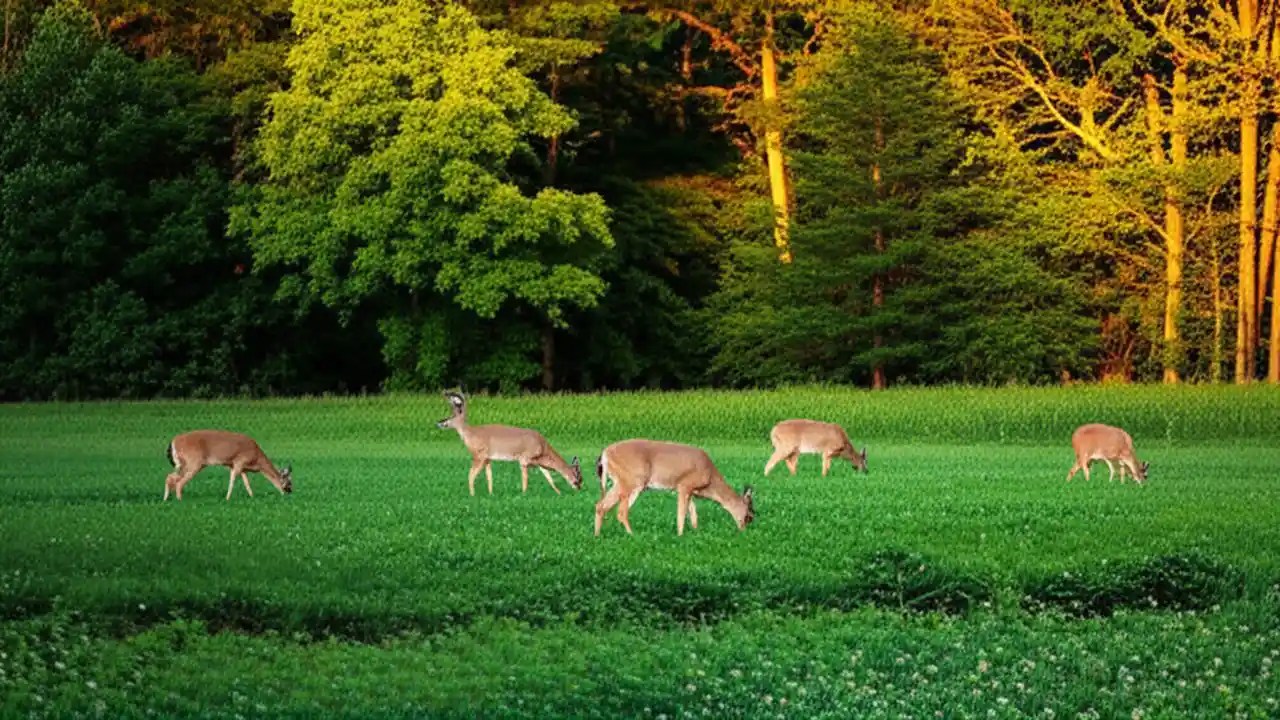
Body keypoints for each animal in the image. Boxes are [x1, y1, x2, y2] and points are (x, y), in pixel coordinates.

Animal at [164, 430, 293, 501]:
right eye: (289, 481)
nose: (289, 492)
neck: (256, 460)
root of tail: (173, 442)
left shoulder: (237, 466)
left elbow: (246, 483)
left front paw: (252, 496)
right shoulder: (239, 462)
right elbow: (232, 481)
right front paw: (227, 498)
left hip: (183, 463)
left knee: (170, 477)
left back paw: (165, 499)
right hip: (194, 462)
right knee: (178, 482)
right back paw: (180, 500)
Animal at [436, 391, 583, 496]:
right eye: (578, 476)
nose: (579, 487)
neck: (543, 449)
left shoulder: (537, 462)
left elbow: (549, 477)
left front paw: (559, 493)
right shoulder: (524, 459)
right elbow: (525, 480)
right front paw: (524, 495)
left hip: (486, 458)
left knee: (487, 476)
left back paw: (490, 494)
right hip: (479, 455)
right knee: (471, 475)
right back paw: (472, 495)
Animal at [594, 439, 755, 536]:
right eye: (749, 515)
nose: (743, 531)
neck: (710, 479)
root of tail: (605, 454)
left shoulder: (689, 490)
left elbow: (693, 513)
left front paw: (695, 531)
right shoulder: (684, 485)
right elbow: (682, 513)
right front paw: (680, 535)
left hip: (620, 482)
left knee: (600, 505)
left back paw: (597, 535)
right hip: (633, 481)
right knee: (620, 511)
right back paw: (632, 535)